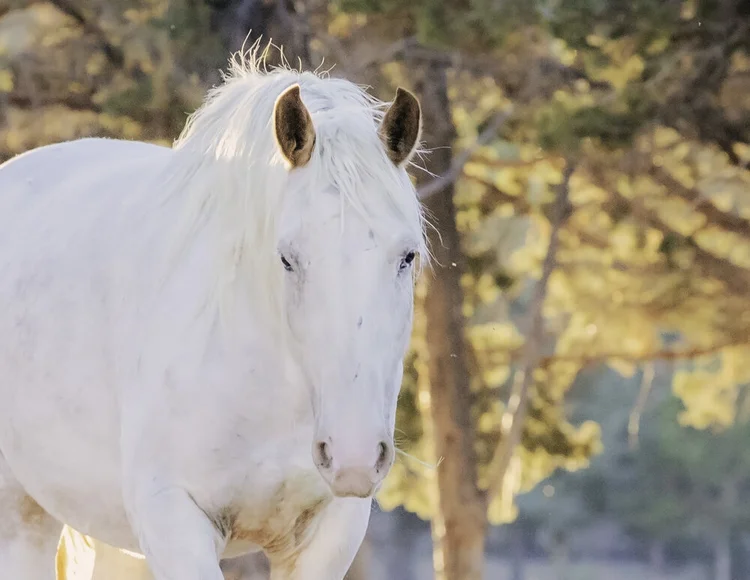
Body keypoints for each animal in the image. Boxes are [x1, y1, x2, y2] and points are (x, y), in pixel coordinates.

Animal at [0, 46, 426, 580]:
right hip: (21, 517)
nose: (353, 456)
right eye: (287, 258)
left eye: (407, 256)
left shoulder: (329, 530)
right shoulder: (173, 518)